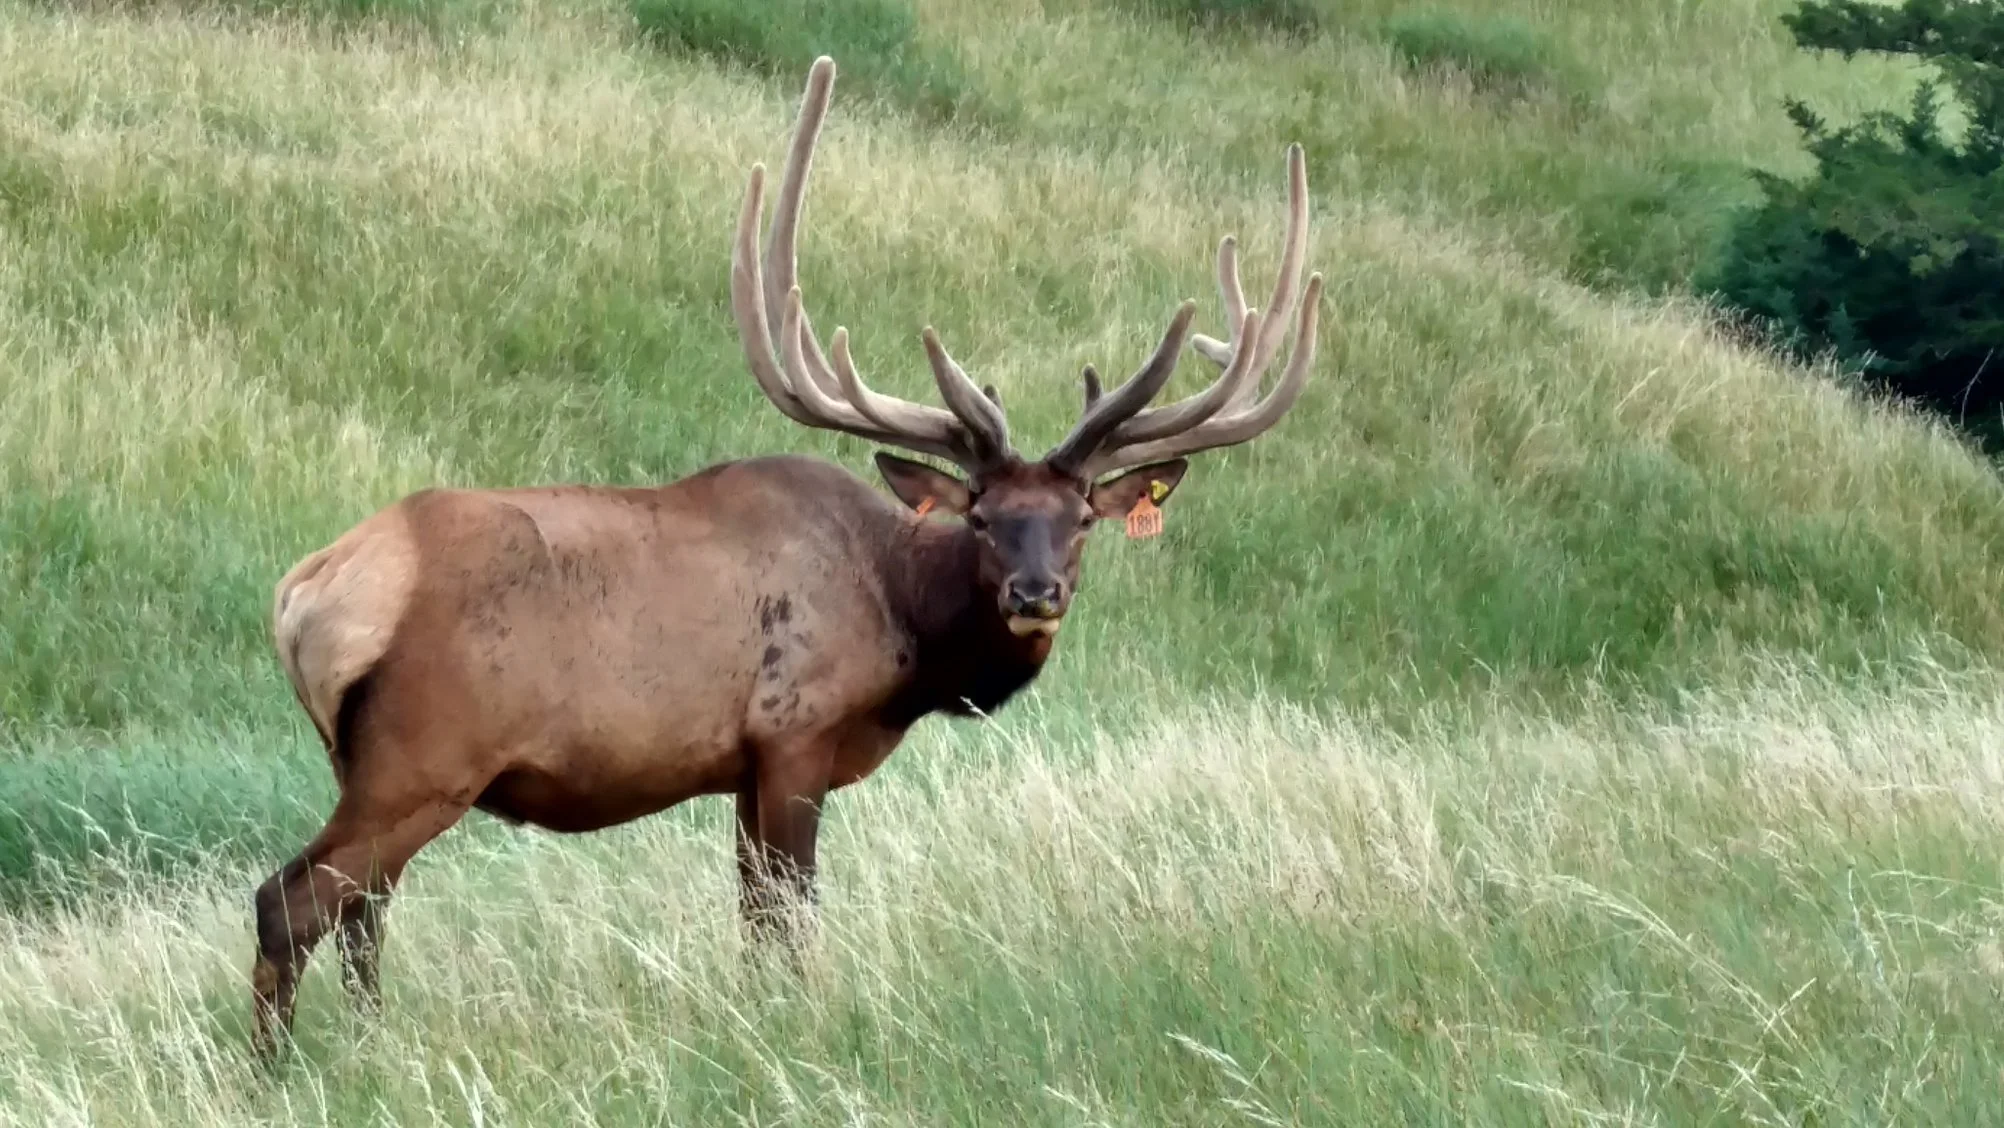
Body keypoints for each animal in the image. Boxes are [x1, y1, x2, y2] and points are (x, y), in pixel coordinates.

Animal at [252, 53, 1322, 1059]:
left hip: (367, 764)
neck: (905, 631)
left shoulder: (741, 770)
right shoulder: (795, 736)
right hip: (424, 755)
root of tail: (306, 597)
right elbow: (790, 922)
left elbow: (752, 921)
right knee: (292, 901)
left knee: (363, 913)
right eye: (981, 517)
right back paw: (279, 1070)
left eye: (1083, 519)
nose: (1036, 591)